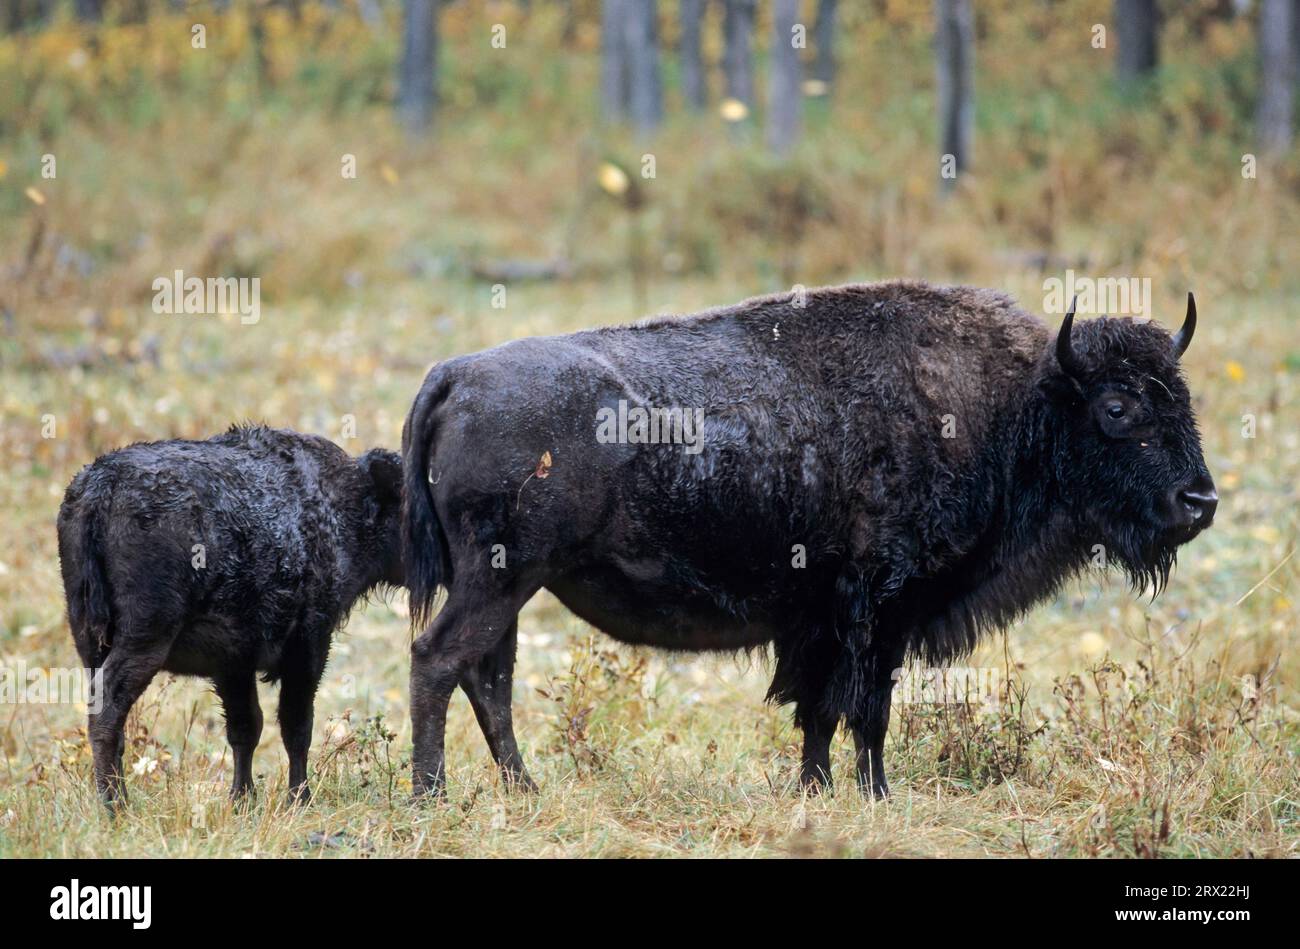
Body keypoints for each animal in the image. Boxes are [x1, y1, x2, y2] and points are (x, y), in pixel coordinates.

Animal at [56, 425, 404, 810]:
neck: (343, 504)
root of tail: (101, 487)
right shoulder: (309, 642)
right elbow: (296, 725)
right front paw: (299, 799)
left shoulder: (234, 663)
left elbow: (245, 728)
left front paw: (242, 799)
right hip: (144, 639)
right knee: (106, 713)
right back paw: (116, 807)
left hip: (88, 638)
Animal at [400, 281, 1215, 799]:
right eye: (1117, 406)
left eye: (1183, 398)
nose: (1200, 500)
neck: (1011, 408)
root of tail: (453, 374)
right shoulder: (881, 609)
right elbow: (868, 708)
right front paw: (877, 794)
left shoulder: (826, 619)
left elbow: (821, 711)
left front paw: (816, 789)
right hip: (500, 578)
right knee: (439, 659)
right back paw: (433, 794)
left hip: (509, 585)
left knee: (487, 675)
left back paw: (523, 788)